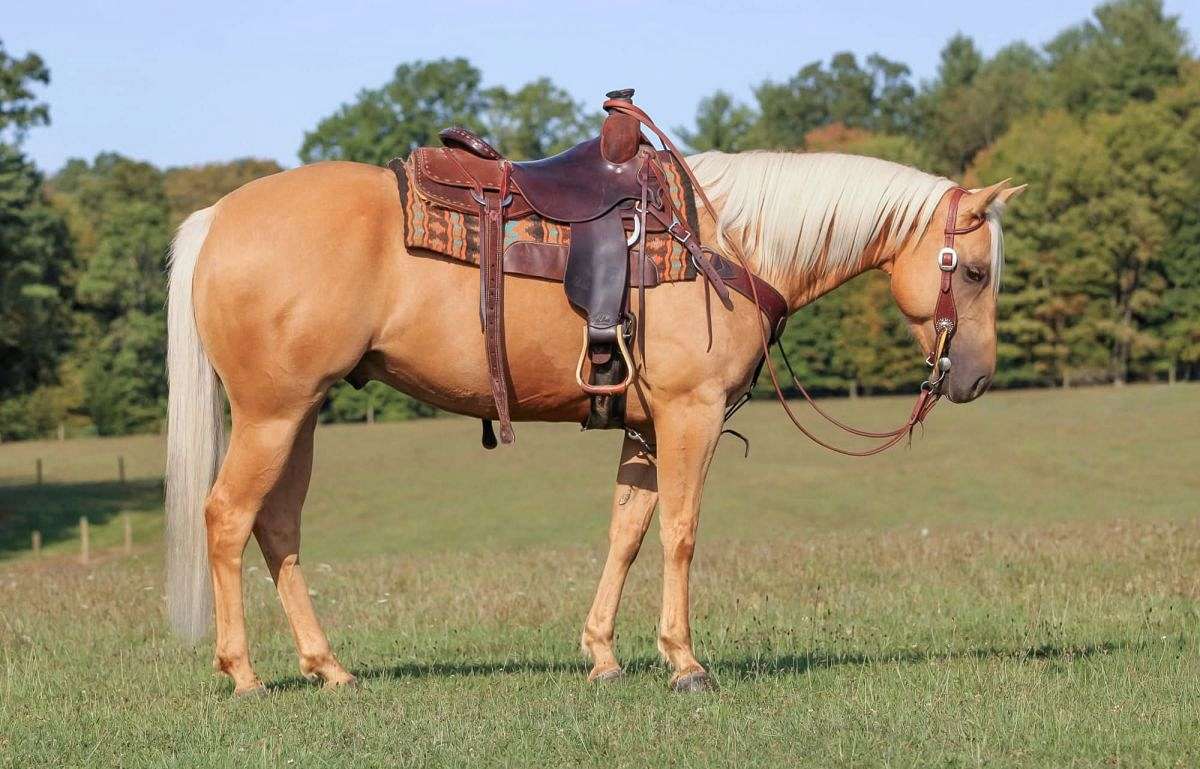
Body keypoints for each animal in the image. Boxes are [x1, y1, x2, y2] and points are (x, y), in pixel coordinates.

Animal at [165, 147, 1024, 694]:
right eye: (976, 272)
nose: (976, 378)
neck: (724, 242)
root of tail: (218, 216)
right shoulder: (689, 414)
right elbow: (680, 532)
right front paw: (684, 661)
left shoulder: (643, 427)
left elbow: (628, 533)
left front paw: (604, 655)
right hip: (273, 414)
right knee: (228, 517)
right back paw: (244, 674)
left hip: (300, 415)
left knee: (277, 527)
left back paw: (328, 666)